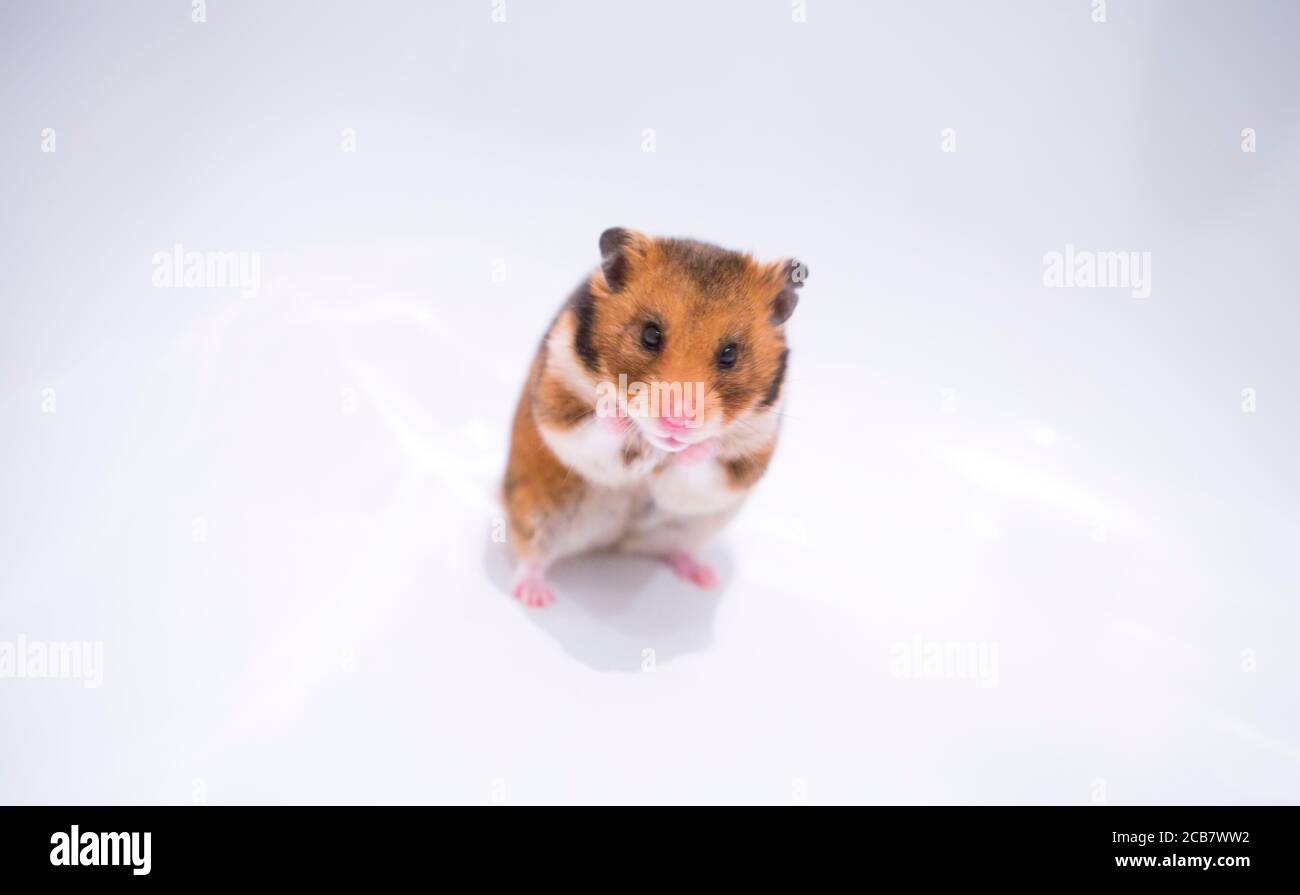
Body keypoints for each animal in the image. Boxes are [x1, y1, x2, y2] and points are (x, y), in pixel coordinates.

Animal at [501, 227, 806, 607]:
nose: (677, 420)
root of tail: (611, 544)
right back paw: (536, 597)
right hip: (538, 509)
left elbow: (702, 465)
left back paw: (705, 578)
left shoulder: (743, 461)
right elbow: (596, 430)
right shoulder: (559, 407)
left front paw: (696, 445)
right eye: (650, 334)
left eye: (730, 354)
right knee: (532, 555)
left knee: (672, 550)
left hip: (693, 527)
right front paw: (615, 410)